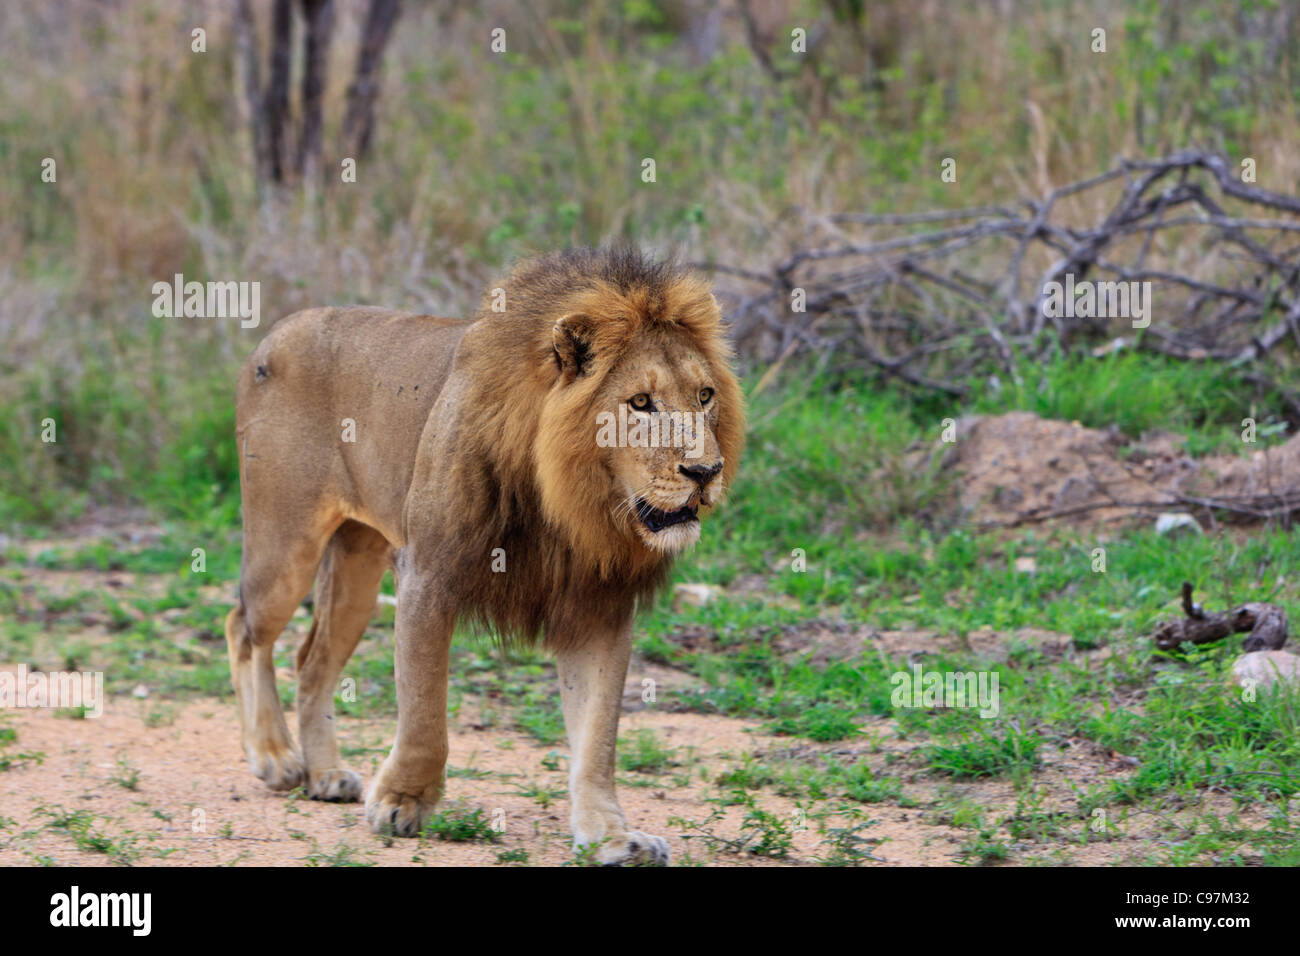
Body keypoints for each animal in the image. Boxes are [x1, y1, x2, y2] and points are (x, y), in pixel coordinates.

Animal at [224, 246, 744, 864]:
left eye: (705, 397)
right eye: (640, 404)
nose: (706, 472)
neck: (570, 498)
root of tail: (277, 330)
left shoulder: (599, 606)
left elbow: (597, 738)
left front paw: (612, 837)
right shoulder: (428, 574)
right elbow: (425, 711)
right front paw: (403, 802)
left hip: (357, 560)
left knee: (312, 660)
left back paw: (324, 774)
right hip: (287, 543)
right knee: (244, 627)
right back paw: (275, 757)